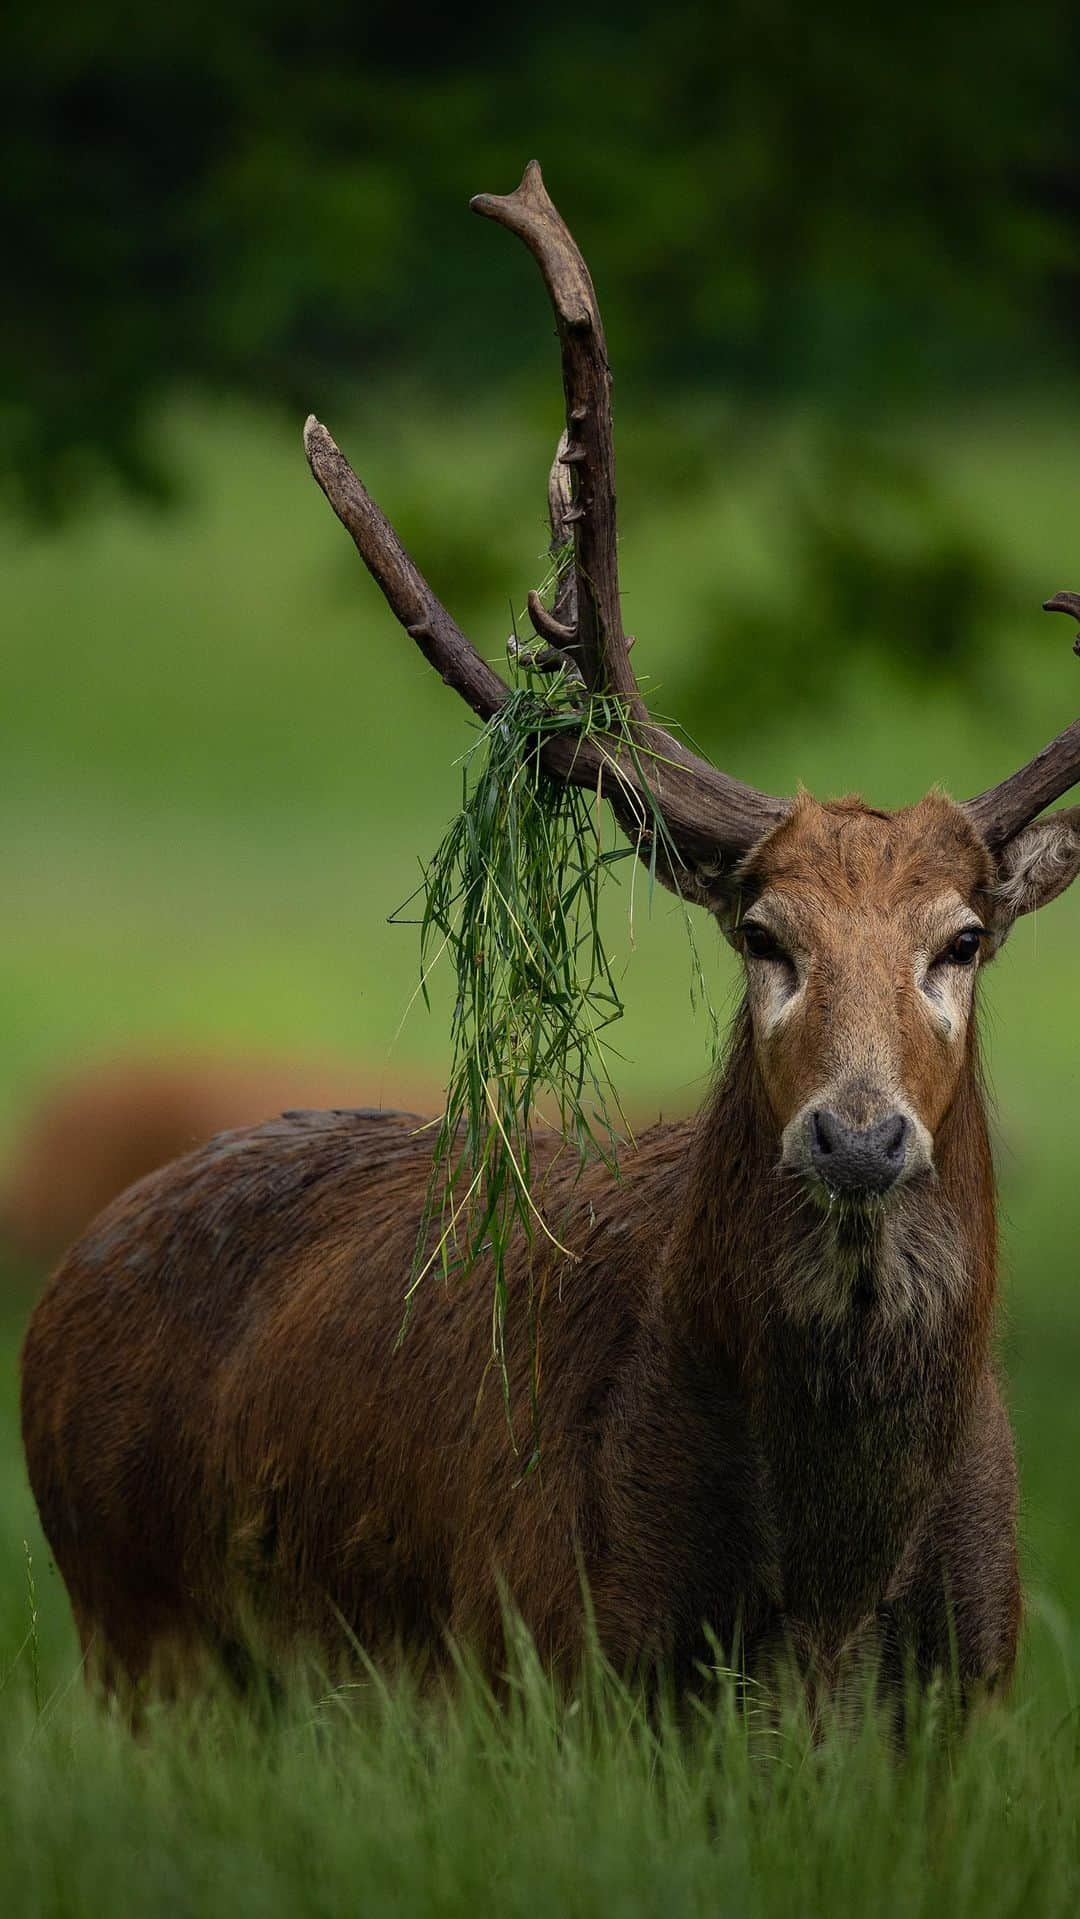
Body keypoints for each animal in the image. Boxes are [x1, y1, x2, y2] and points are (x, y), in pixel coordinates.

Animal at [21, 161, 1080, 1696]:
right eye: (762, 933)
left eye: (962, 939)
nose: (858, 1133)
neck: (825, 1600)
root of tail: (60, 1285)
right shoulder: (548, 1651)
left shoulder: (971, 1686)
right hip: (132, 1618)